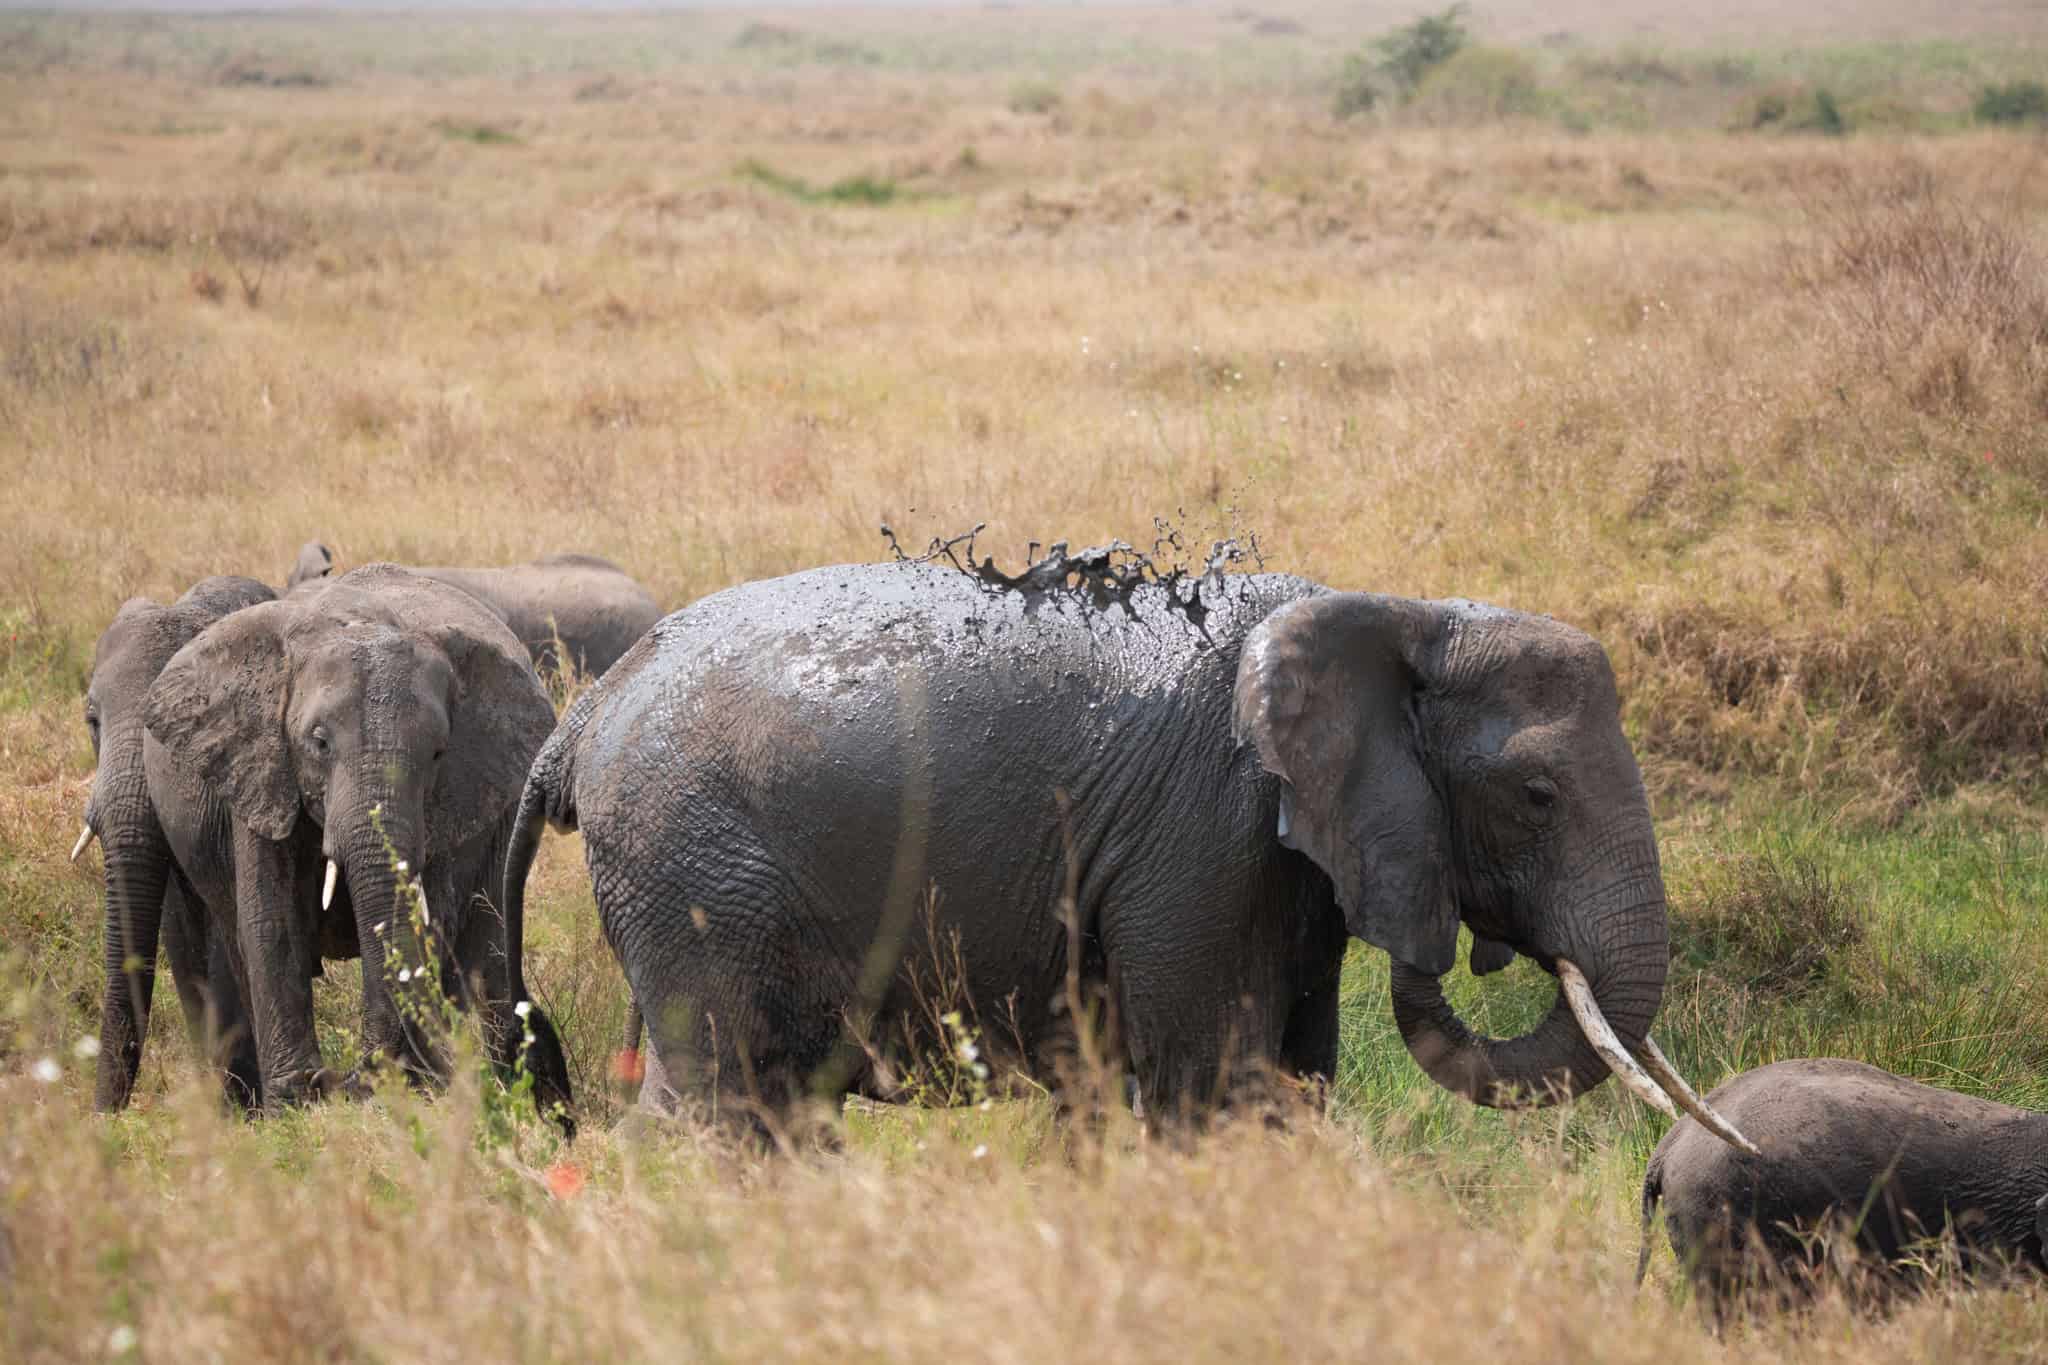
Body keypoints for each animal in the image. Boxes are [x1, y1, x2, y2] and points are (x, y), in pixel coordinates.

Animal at [143, 564, 573, 1126]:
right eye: (319, 743)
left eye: (439, 753)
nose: (349, 1079)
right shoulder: (260, 769)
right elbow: (272, 922)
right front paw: (297, 1105)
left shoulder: (453, 801)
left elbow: (424, 918)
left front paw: (394, 1089)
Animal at [503, 554, 1755, 1141]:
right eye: (1535, 794)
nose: (1476, 946)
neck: (1393, 615)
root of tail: (580, 719)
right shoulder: (1206, 831)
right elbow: (1211, 1075)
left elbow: (1293, 1070)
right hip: (693, 858)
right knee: (723, 1091)